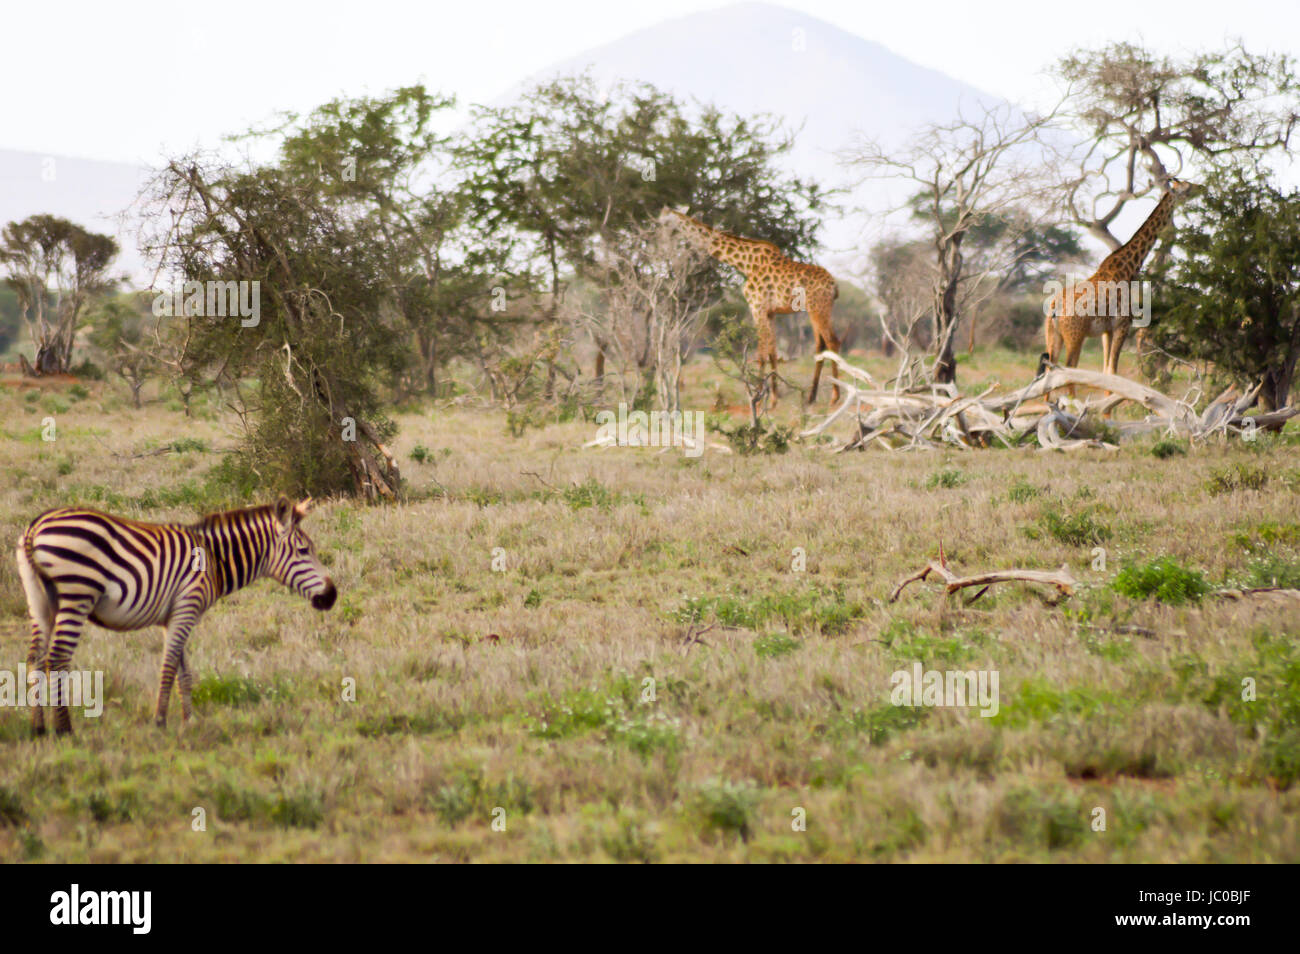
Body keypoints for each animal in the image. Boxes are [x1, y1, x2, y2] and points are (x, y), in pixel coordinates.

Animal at [15, 496, 337, 736]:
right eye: (304, 550)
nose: (332, 596)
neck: (214, 559)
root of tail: (34, 528)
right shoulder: (187, 607)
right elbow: (170, 666)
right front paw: (160, 722)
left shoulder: (176, 615)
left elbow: (185, 671)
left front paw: (189, 720)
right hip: (78, 594)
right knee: (57, 658)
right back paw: (65, 730)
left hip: (39, 601)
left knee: (35, 658)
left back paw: (38, 729)